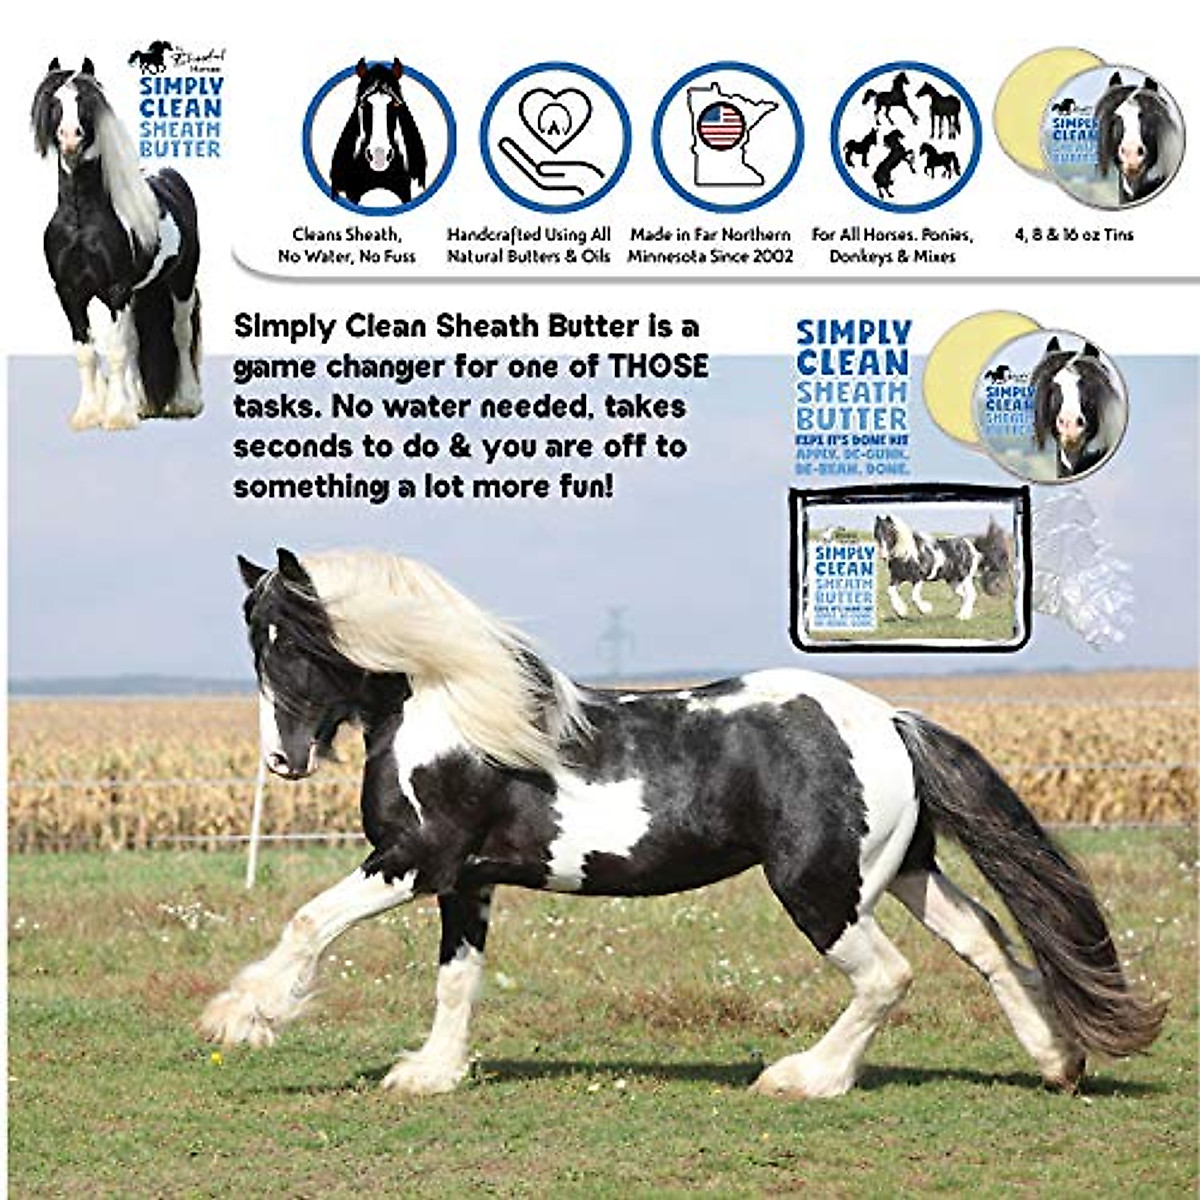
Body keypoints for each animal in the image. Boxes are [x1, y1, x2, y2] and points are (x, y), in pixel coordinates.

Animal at [31, 58, 202, 430]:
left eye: (86, 102)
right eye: (54, 101)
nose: (70, 138)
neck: (81, 221)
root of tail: (170, 176)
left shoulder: (116, 290)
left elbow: (117, 350)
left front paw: (117, 417)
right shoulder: (69, 292)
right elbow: (88, 352)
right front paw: (89, 414)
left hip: (180, 281)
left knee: (181, 335)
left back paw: (186, 402)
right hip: (140, 292)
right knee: (137, 341)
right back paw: (140, 404)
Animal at [199, 547, 1163, 1100]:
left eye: (288, 639)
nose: (283, 759)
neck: (449, 706)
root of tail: (890, 720)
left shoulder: (413, 859)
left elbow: (309, 922)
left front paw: (239, 1020)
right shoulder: (467, 883)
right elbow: (456, 982)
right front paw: (429, 1076)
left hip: (819, 888)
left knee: (888, 977)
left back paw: (802, 1079)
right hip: (903, 870)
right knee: (988, 941)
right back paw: (1058, 1061)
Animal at [873, 513, 1011, 621]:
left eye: (890, 533)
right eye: (877, 535)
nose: (883, 556)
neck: (907, 555)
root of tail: (973, 549)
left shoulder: (918, 578)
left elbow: (914, 597)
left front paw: (925, 609)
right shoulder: (896, 578)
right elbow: (890, 592)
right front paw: (901, 612)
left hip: (965, 577)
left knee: (971, 594)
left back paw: (963, 617)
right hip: (953, 580)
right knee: (964, 596)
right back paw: (961, 615)